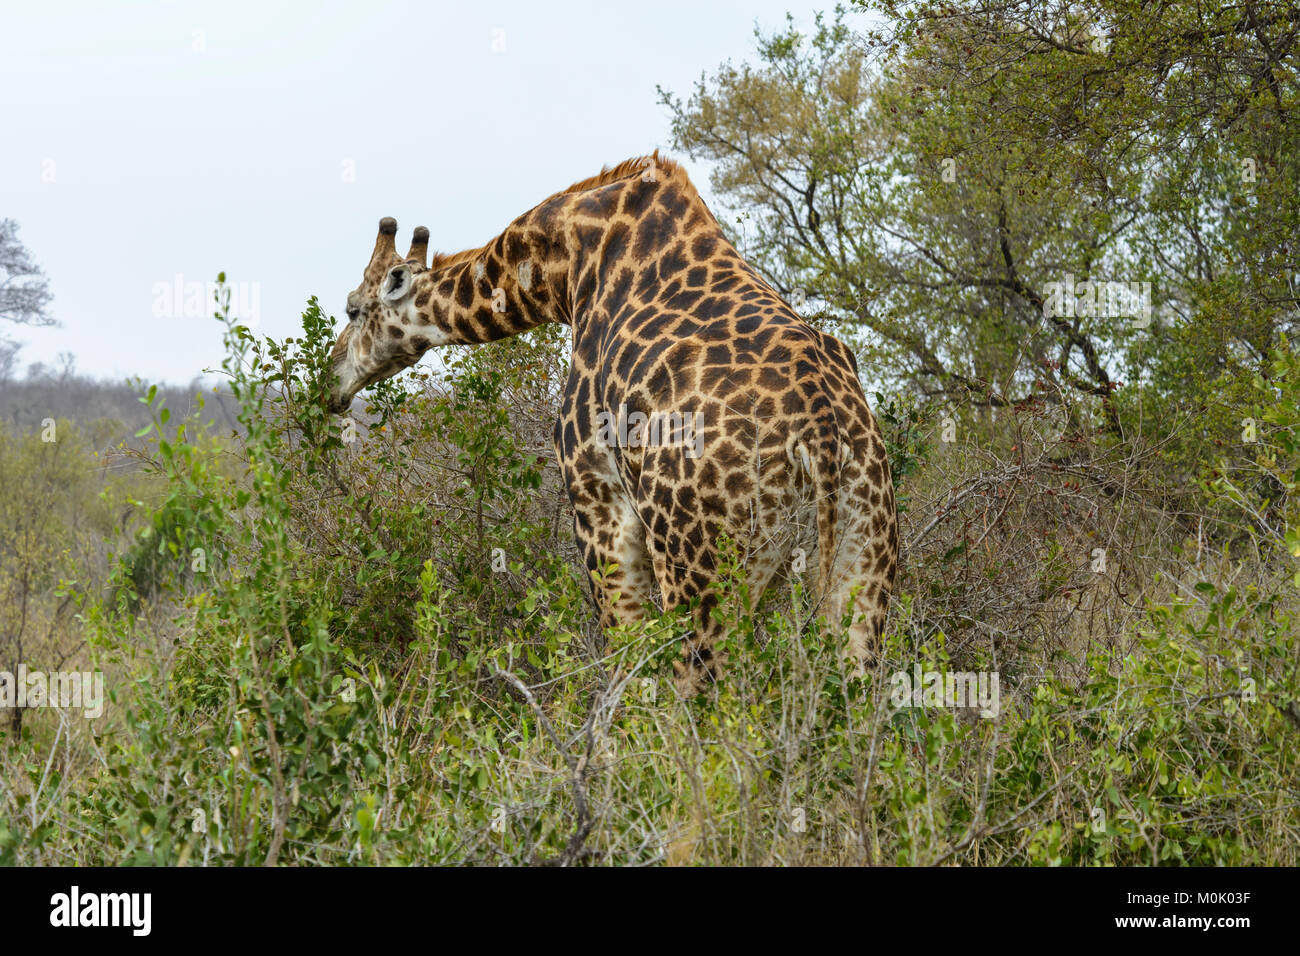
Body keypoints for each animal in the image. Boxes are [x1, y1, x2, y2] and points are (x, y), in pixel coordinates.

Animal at [328, 153, 899, 697]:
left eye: (352, 309)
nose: (331, 385)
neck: (561, 269)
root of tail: (822, 435)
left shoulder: (595, 495)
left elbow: (625, 662)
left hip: (705, 571)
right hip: (864, 562)